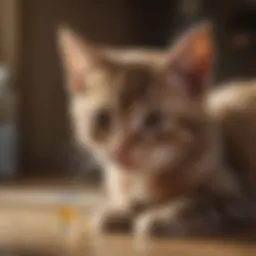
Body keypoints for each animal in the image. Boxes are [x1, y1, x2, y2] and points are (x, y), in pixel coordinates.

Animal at [57, 23, 246, 236]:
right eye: (102, 119)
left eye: (153, 120)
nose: (119, 150)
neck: (145, 179)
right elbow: (134, 202)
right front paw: (122, 210)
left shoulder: (237, 199)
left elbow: (196, 202)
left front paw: (163, 215)